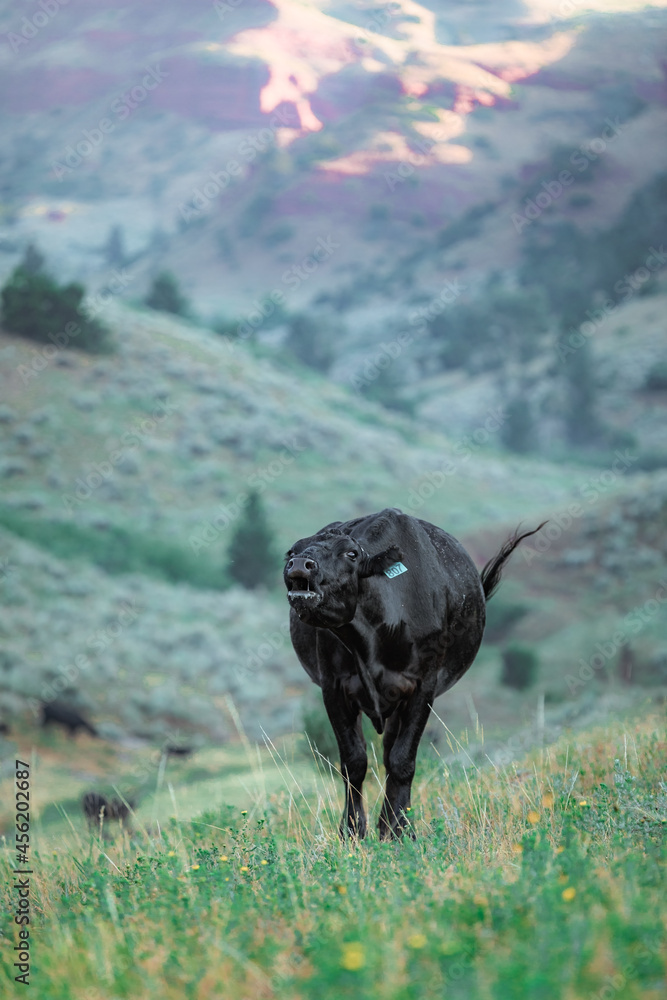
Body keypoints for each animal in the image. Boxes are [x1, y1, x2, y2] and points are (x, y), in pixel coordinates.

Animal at [284, 508, 545, 840]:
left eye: (351, 553)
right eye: (291, 552)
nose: (300, 564)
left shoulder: (422, 687)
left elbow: (403, 760)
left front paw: (399, 831)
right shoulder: (333, 687)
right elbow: (353, 762)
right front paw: (352, 832)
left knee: (391, 754)